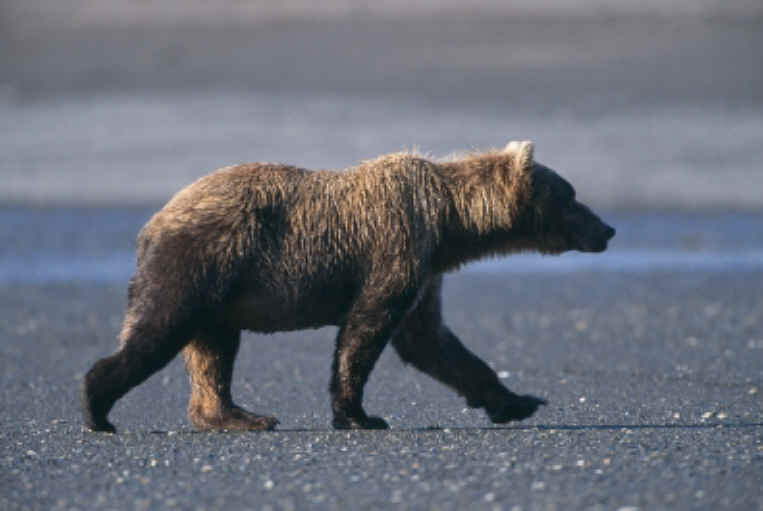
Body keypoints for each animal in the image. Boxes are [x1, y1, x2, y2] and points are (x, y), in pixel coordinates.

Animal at [81, 140, 615, 432]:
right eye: (572, 196)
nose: (608, 229)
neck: (451, 223)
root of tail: (151, 224)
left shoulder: (427, 270)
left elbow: (433, 342)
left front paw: (516, 401)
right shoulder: (395, 247)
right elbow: (366, 331)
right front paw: (360, 414)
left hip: (220, 287)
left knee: (212, 351)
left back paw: (236, 415)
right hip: (199, 262)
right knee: (160, 329)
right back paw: (97, 405)